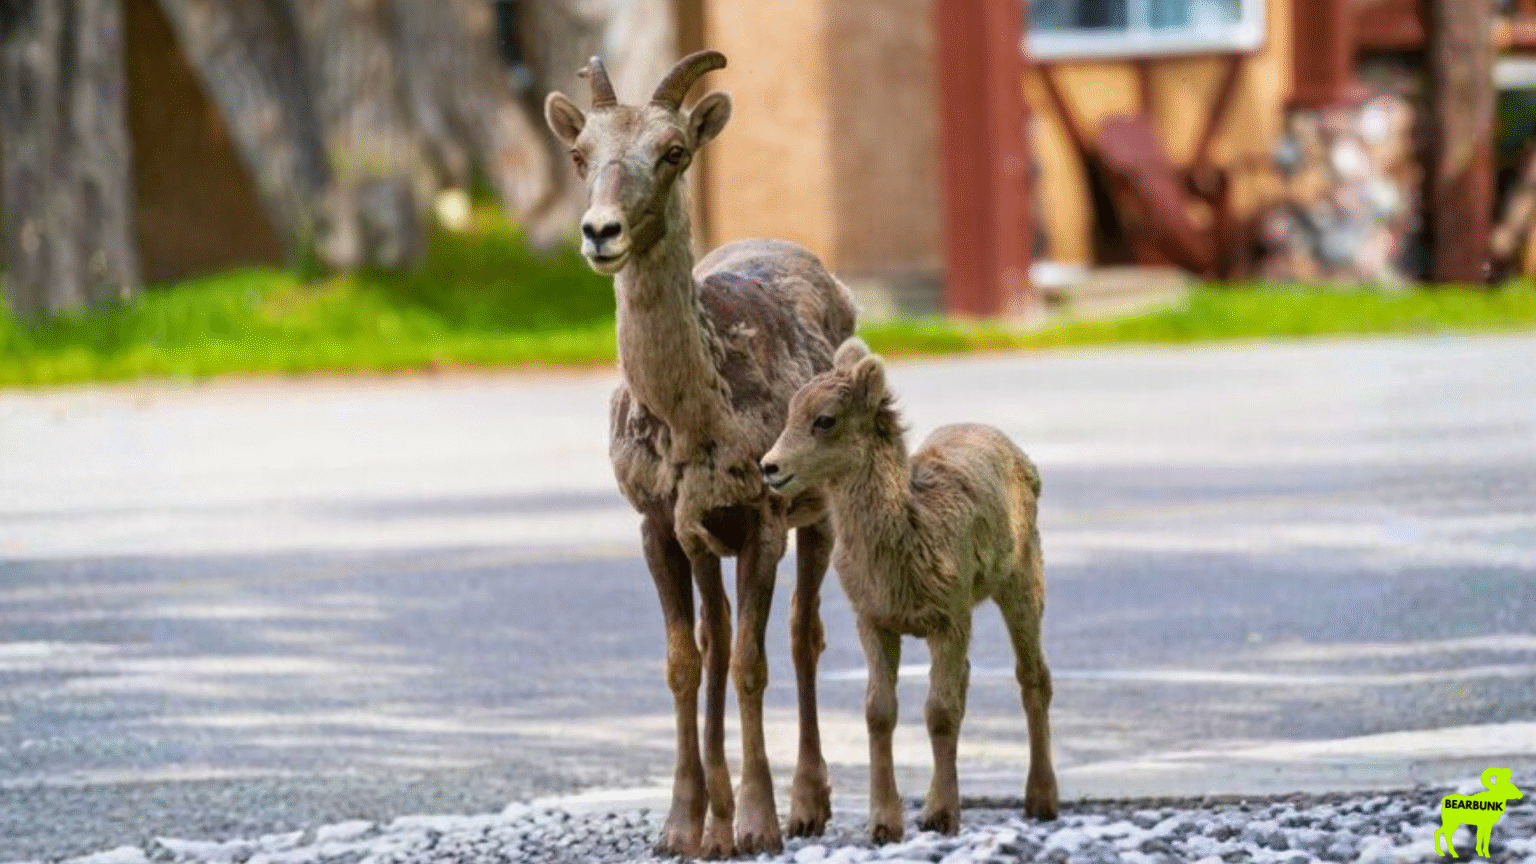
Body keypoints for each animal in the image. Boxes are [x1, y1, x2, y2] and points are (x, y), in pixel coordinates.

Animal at [760, 338, 1058, 843]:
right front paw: (885, 824)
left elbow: (939, 710)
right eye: (789, 412)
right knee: (970, 679)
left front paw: (941, 817)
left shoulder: (951, 616)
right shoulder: (873, 619)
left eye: (825, 419)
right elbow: (880, 710)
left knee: (1033, 675)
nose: (769, 467)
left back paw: (1042, 801)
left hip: (1022, 577)